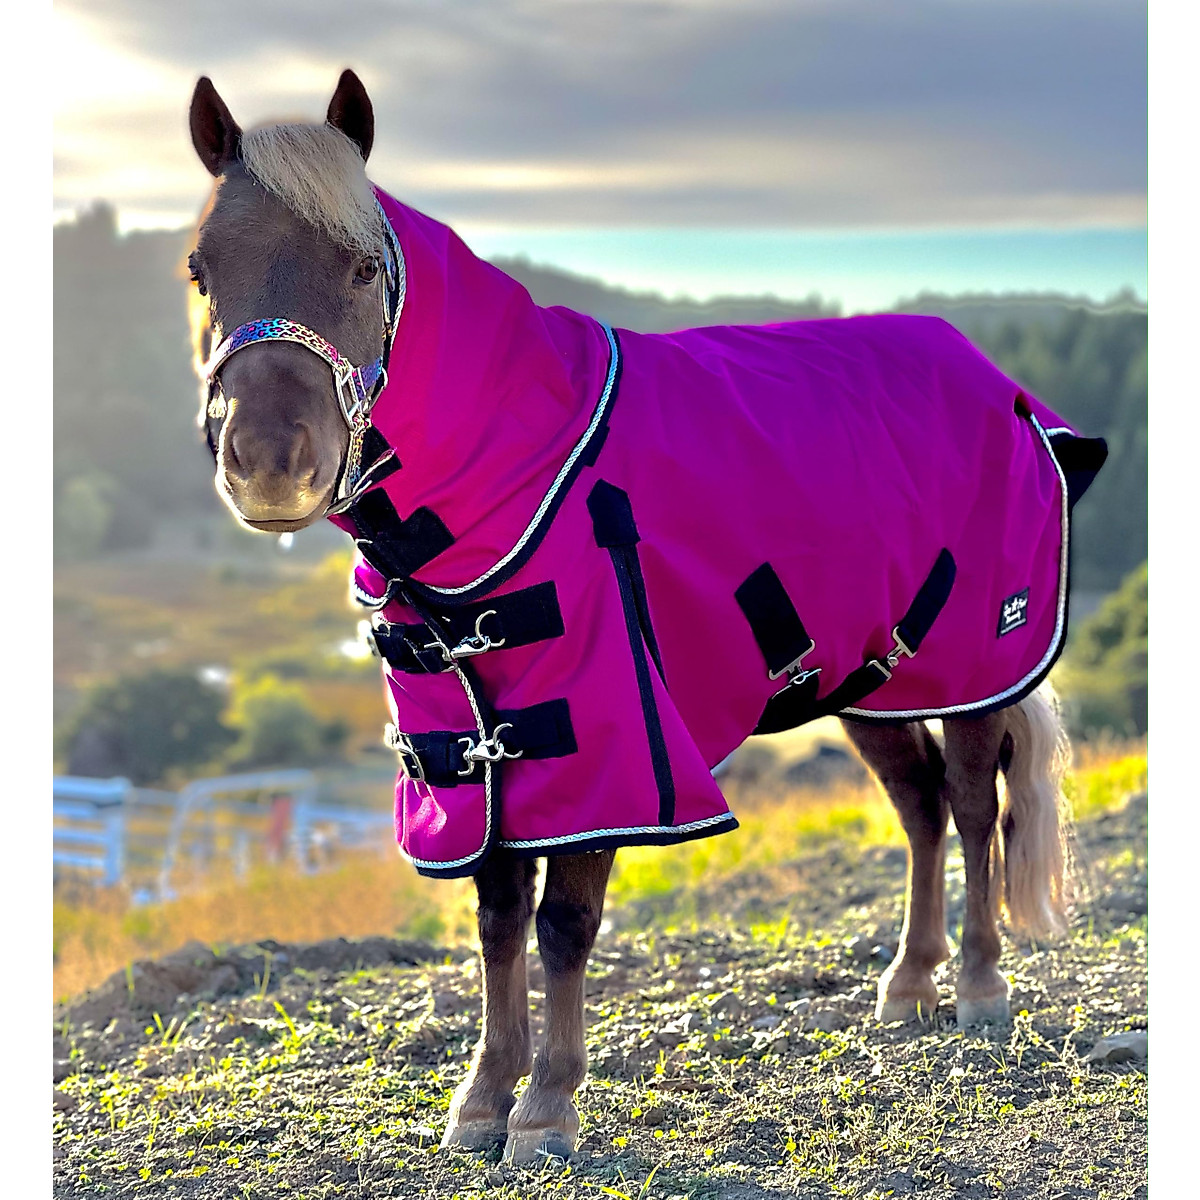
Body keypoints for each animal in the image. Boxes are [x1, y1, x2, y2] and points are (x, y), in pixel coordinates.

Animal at [185, 70, 1106, 1165]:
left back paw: (977, 987)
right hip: (867, 683)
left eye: (365, 267)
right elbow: (498, 916)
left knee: (969, 805)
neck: (520, 458)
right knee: (918, 808)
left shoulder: (605, 732)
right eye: (201, 268)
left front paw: (545, 1109)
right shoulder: (469, 745)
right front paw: (481, 1099)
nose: (268, 464)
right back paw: (908, 983)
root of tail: (1003, 389)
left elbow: (564, 925)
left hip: (971, 665)